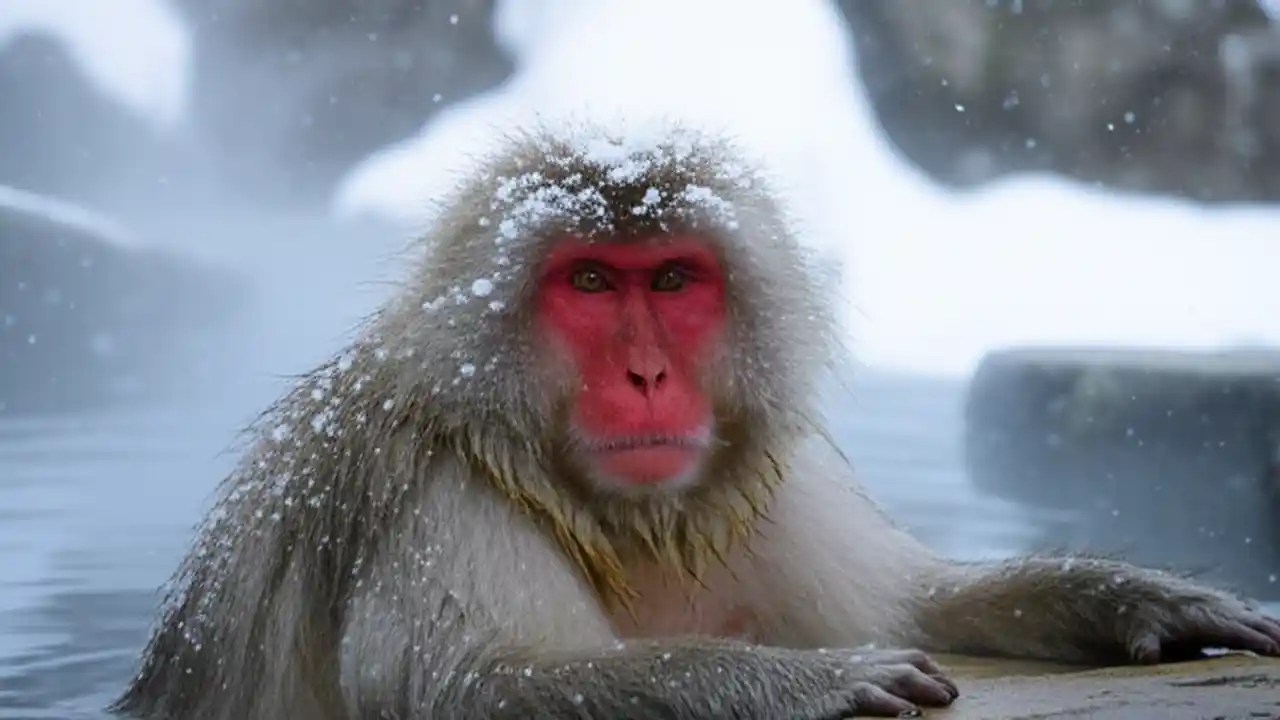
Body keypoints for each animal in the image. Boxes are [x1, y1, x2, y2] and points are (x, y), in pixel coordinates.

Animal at [113, 123, 1280, 720]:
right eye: (589, 280)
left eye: (673, 278)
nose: (645, 373)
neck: (612, 514)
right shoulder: (431, 496)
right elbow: (473, 687)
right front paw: (799, 683)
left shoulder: (769, 491)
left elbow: (913, 602)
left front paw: (1141, 599)